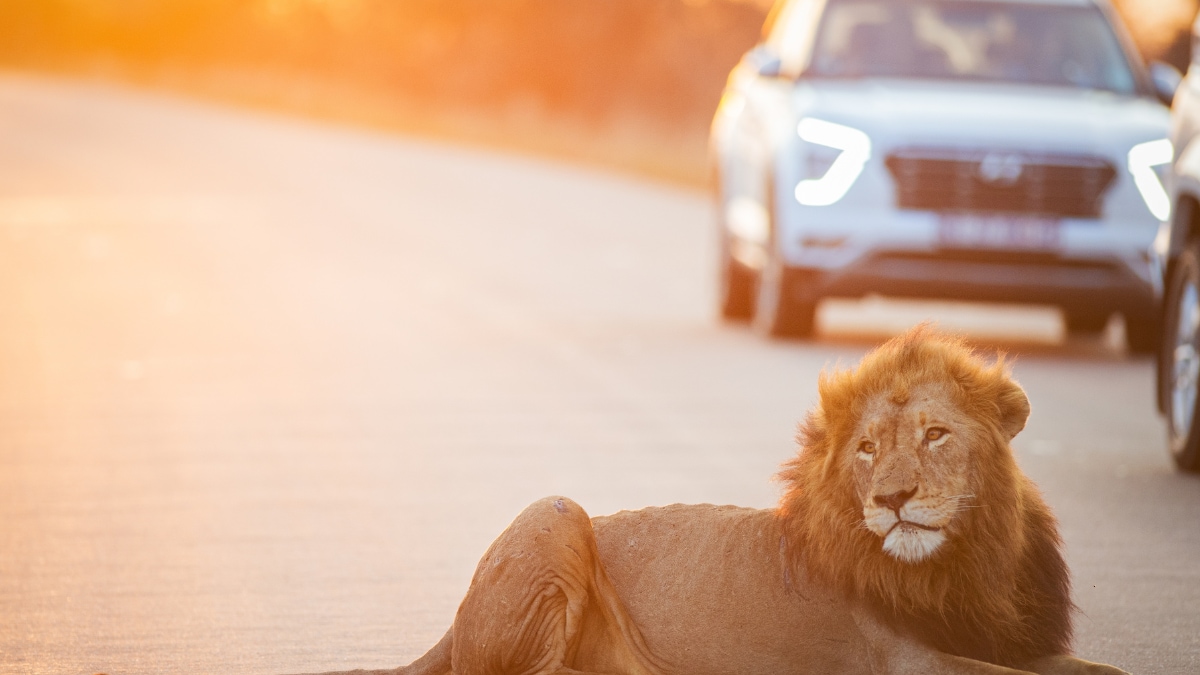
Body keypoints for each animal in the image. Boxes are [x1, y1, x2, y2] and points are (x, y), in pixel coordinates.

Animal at [374, 327, 1128, 675]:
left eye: (935, 434)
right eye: (866, 448)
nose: (892, 497)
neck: (969, 561)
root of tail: (453, 623)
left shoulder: (1000, 638)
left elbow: (1096, 667)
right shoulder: (904, 660)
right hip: (554, 509)